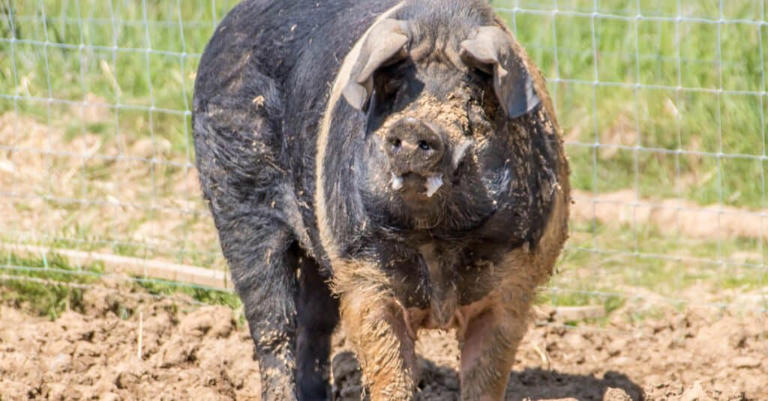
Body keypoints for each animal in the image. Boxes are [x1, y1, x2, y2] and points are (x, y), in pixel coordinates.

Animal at [192, 0, 570, 400]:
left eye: (471, 103)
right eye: (393, 91)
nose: (414, 126)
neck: (434, 239)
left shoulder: (513, 280)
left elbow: (485, 375)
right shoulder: (362, 271)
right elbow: (389, 368)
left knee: (314, 322)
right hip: (237, 196)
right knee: (272, 322)